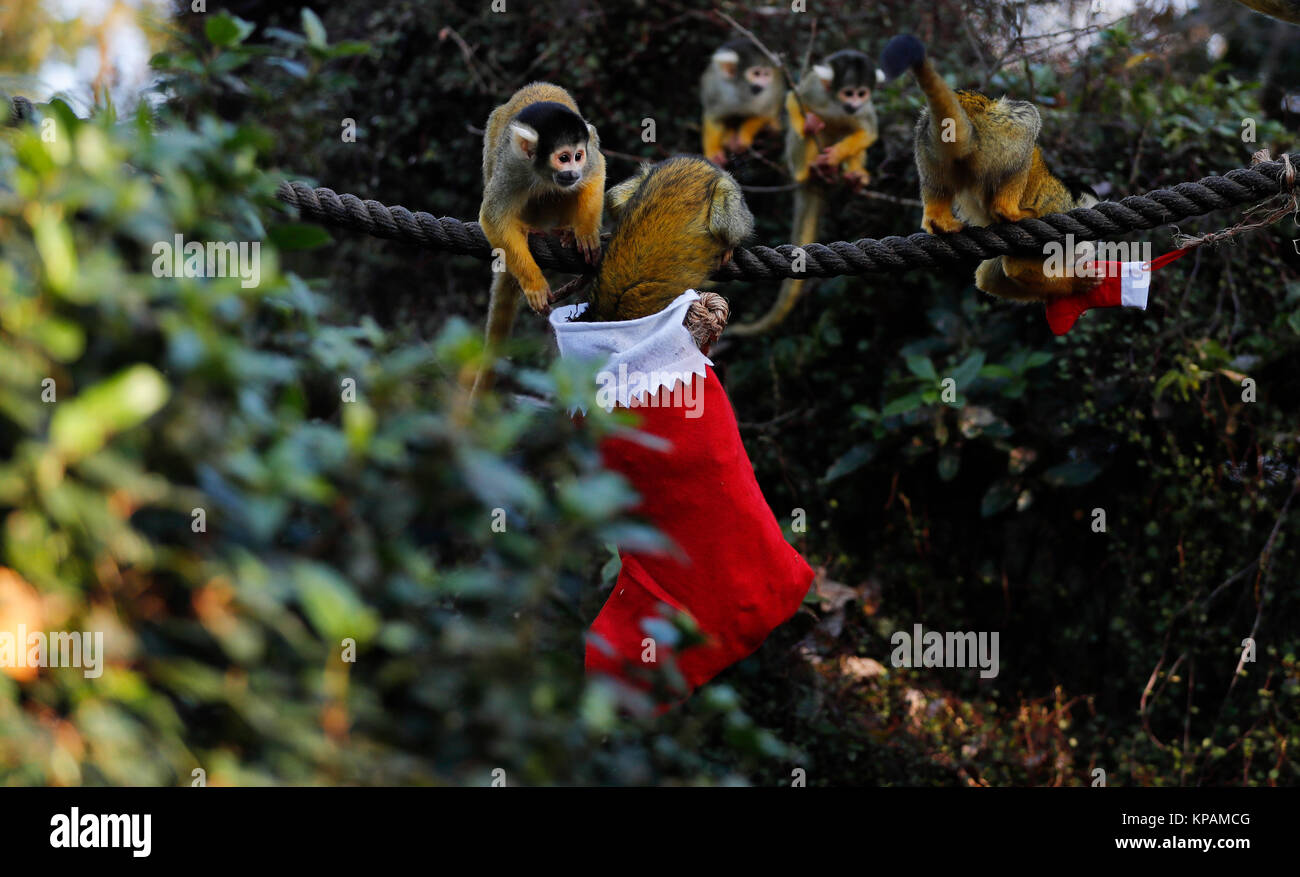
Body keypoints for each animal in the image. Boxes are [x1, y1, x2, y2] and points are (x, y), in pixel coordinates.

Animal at [475, 82, 606, 392]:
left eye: (578, 156)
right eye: (563, 158)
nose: (573, 171)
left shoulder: (590, 155)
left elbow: (596, 172)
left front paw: (585, 233)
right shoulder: (512, 164)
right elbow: (493, 216)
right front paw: (533, 284)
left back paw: (565, 231)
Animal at [700, 39, 785, 167]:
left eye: (767, 74)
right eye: (756, 73)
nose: (764, 83)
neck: (741, 91)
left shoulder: (768, 93)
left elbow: (765, 113)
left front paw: (743, 137)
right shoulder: (716, 89)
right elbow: (714, 117)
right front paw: (713, 152)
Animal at [730, 50, 879, 336]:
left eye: (862, 93)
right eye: (849, 93)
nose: (854, 104)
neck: (837, 103)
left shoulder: (865, 109)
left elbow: (867, 132)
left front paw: (837, 156)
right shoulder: (814, 91)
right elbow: (793, 100)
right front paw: (808, 124)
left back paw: (850, 175)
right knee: (804, 133)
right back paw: (809, 170)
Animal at [880, 34, 1100, 303]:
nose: (1091, 248)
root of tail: (971, 108)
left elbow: (988, 278)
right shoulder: (1061, 220)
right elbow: (1018, 268)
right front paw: (1076, 284)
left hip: (927, 137)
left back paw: (938, 220)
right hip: (997, 133)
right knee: (1028, 118)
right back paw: (1008, 211)